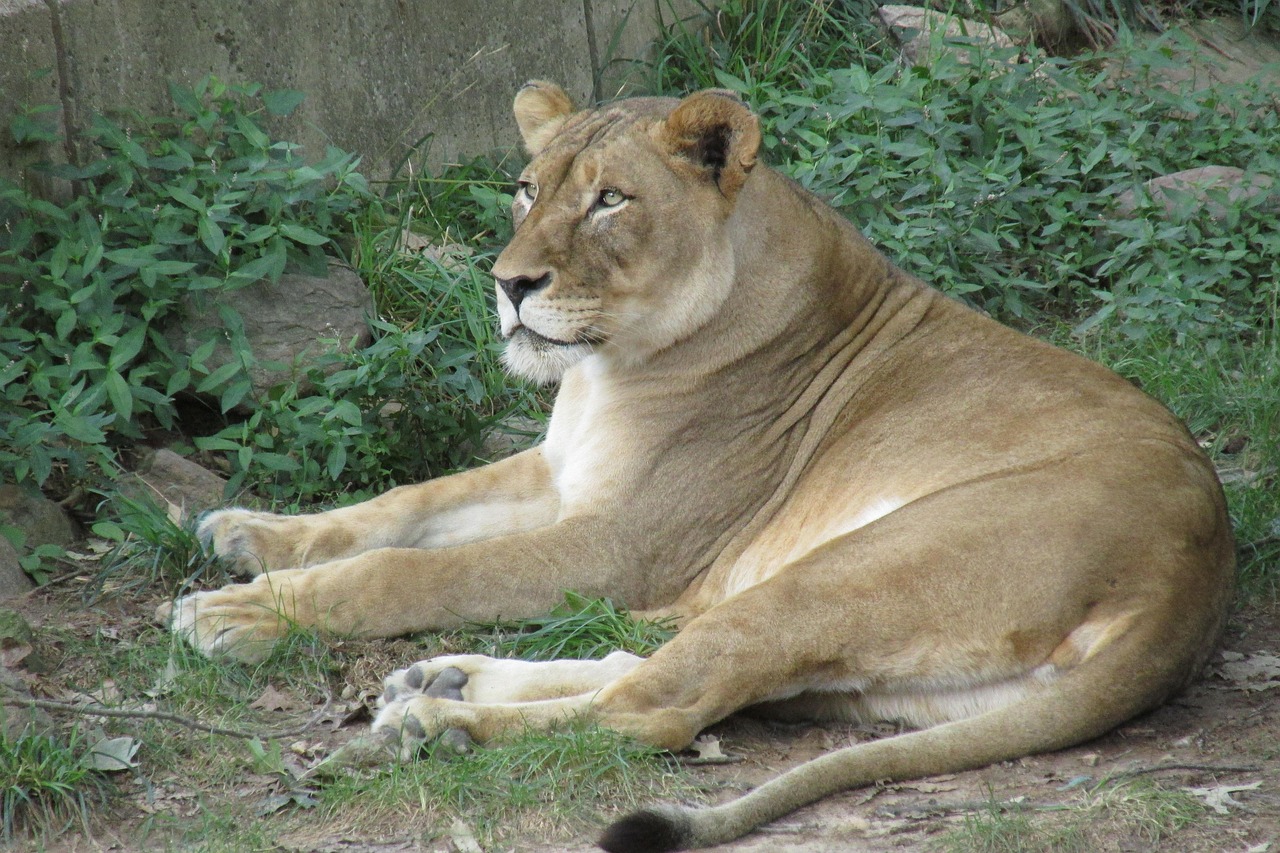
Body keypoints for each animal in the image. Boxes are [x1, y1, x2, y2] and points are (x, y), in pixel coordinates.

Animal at [165, 82, 1235, 852]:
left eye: (610, 199)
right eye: (528, 188)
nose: (509, 284)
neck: (605, 369)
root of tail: (1192, 586)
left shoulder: (621, 544)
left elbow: (413, 570)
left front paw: (240, 612)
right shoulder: (559, 472)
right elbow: (402, 503)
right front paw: (248, 533)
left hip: (853, 569)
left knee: (656, 710)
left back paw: (437, 723)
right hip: (862, 669)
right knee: (650, 665)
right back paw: (446, 679)